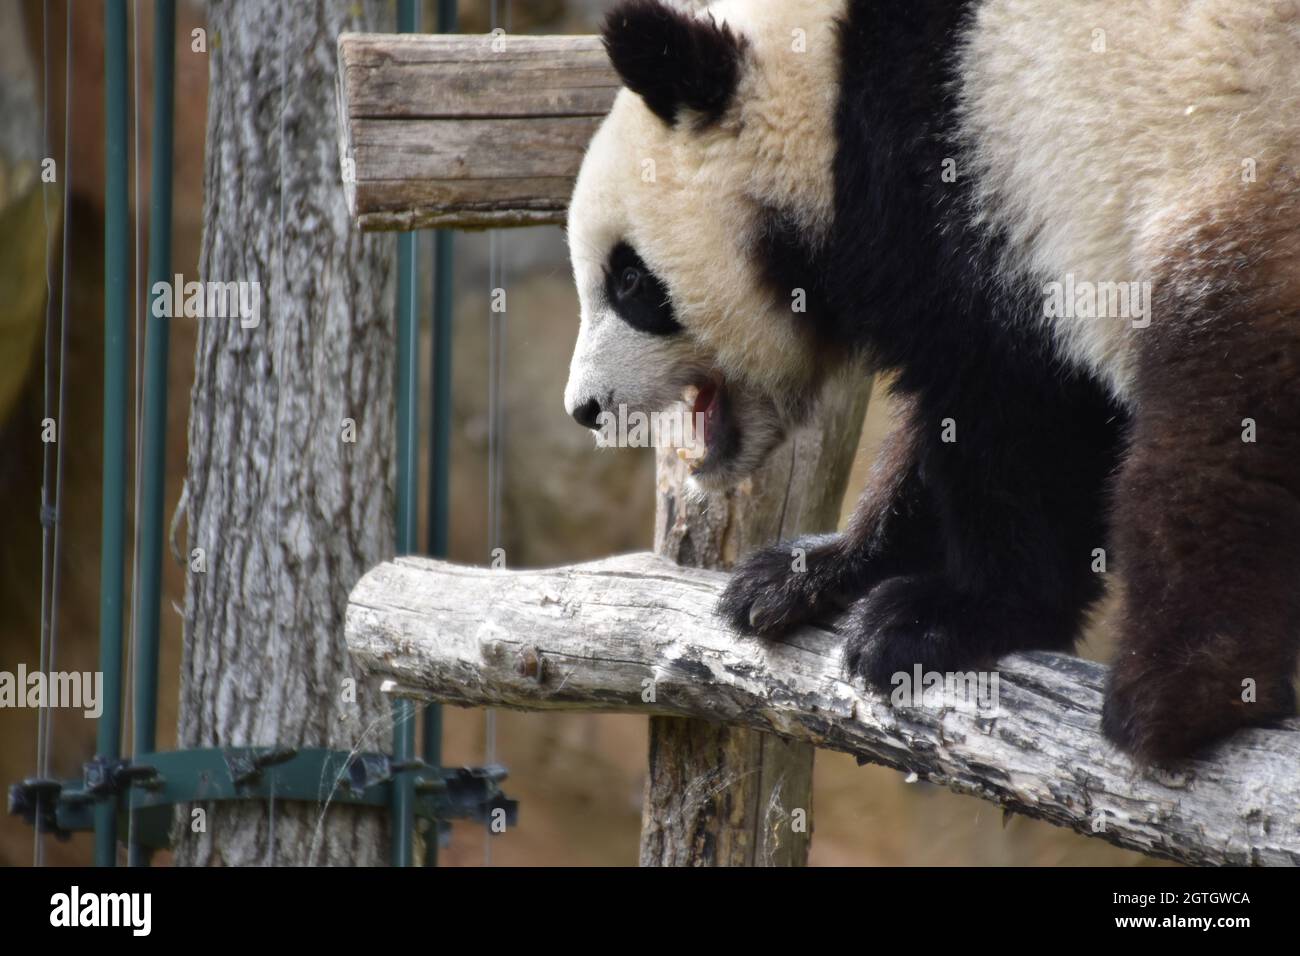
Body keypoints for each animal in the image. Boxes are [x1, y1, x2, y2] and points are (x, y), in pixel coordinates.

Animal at [563, 0, 1300, 763]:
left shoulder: (973, 157)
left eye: (629, 280)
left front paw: (948, 616)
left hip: (1235, 165)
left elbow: (1011, 405)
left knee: (1223, 406)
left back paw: (1179, 694)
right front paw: (807, 572)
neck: (832, 91)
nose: (584, 407)